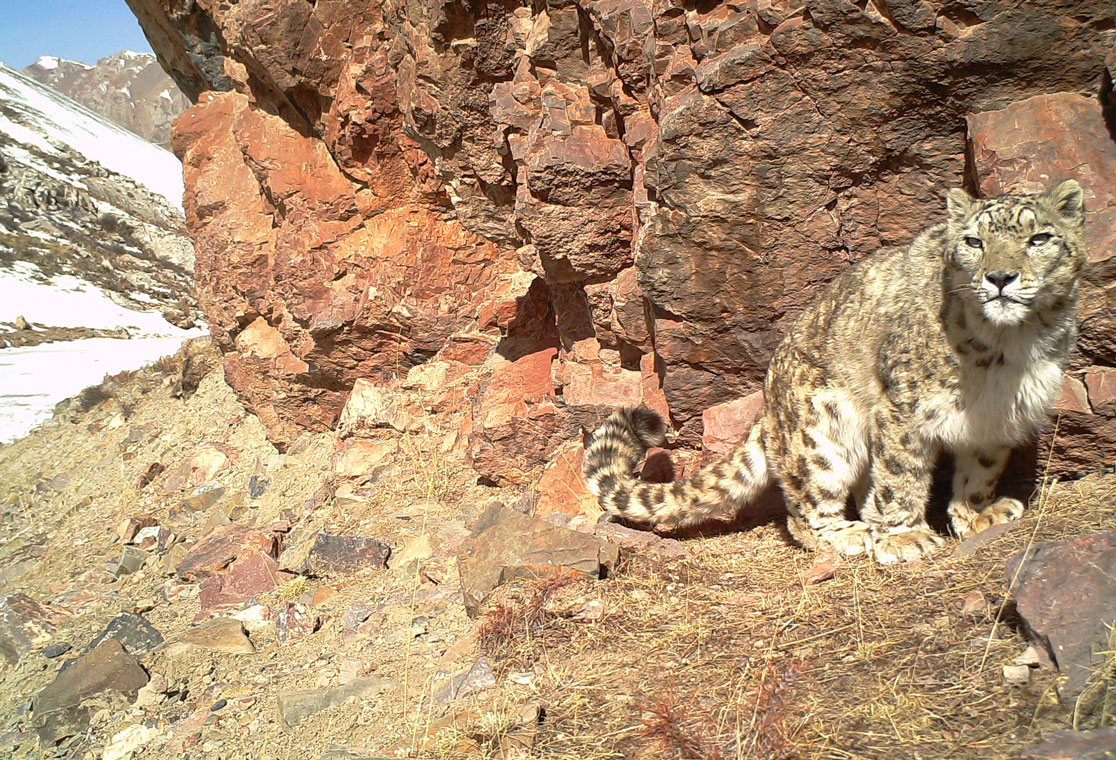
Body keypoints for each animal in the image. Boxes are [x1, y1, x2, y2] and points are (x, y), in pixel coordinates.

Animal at [584, 180, 1087, 564]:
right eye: (973, 241)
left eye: (1039, 238)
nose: (999, 278)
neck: (1010, 348)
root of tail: (769, 404)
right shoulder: (903, 406)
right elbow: (901, 475)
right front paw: (906, 536)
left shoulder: (999, 412)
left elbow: (980, 470)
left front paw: (977, 515)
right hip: (824, 433)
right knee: (806, 509)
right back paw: (851, 534)